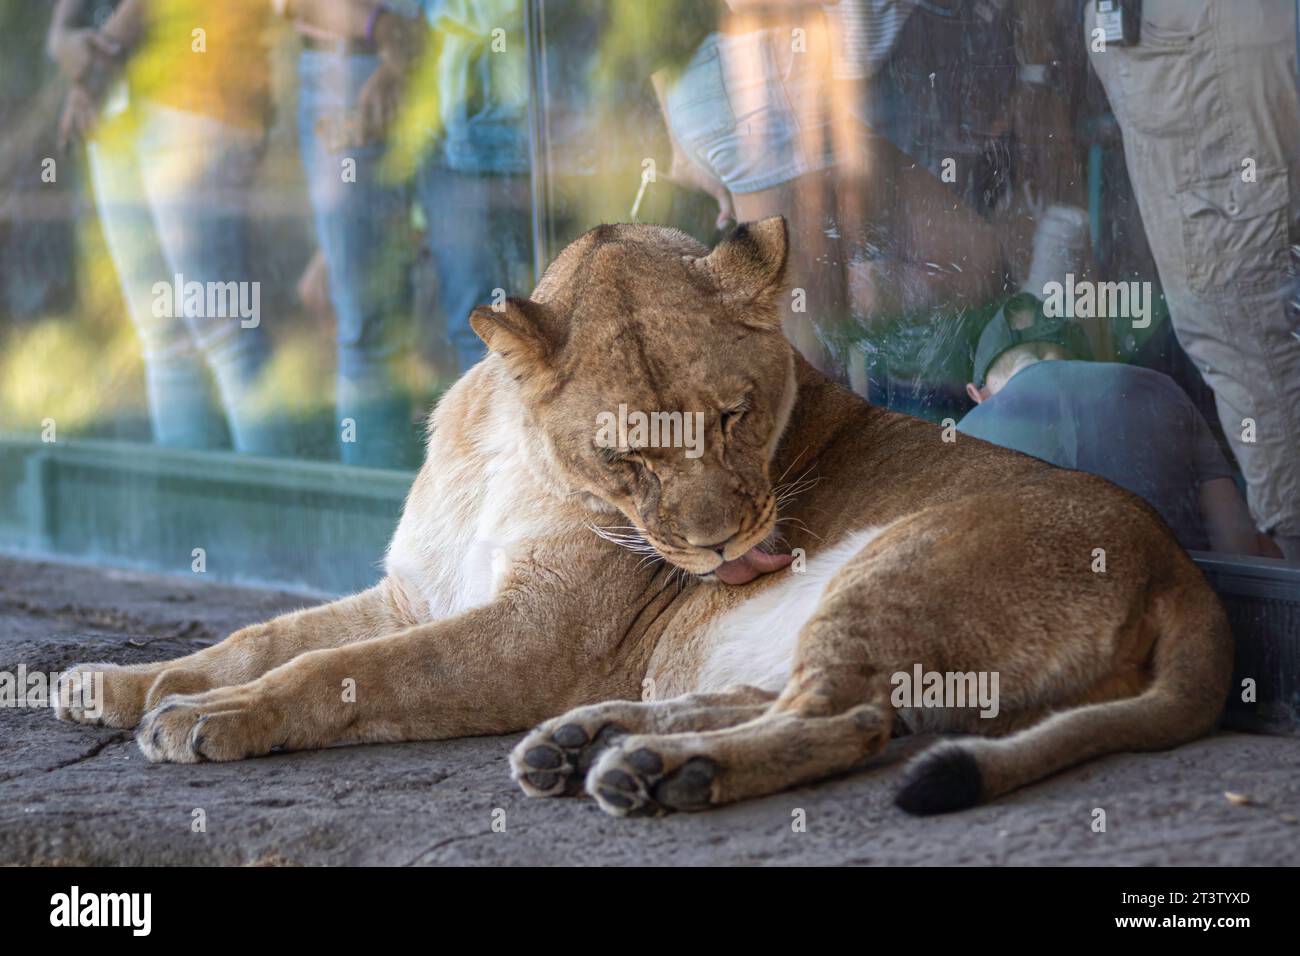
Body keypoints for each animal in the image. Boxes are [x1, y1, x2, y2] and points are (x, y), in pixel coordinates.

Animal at [55, 218, 1233, 817]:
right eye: (624, 454)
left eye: (734, 415)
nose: (718, 545)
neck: (512, 451)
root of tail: (1184, 573)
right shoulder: (417, 592)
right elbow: (260, 637)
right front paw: (117, 685)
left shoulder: (534, 638)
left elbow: (335, 672)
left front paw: (211, 718)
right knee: (794, 695)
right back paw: (597, 744)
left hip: (903, 567)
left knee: (848, 718)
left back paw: (665, 771)